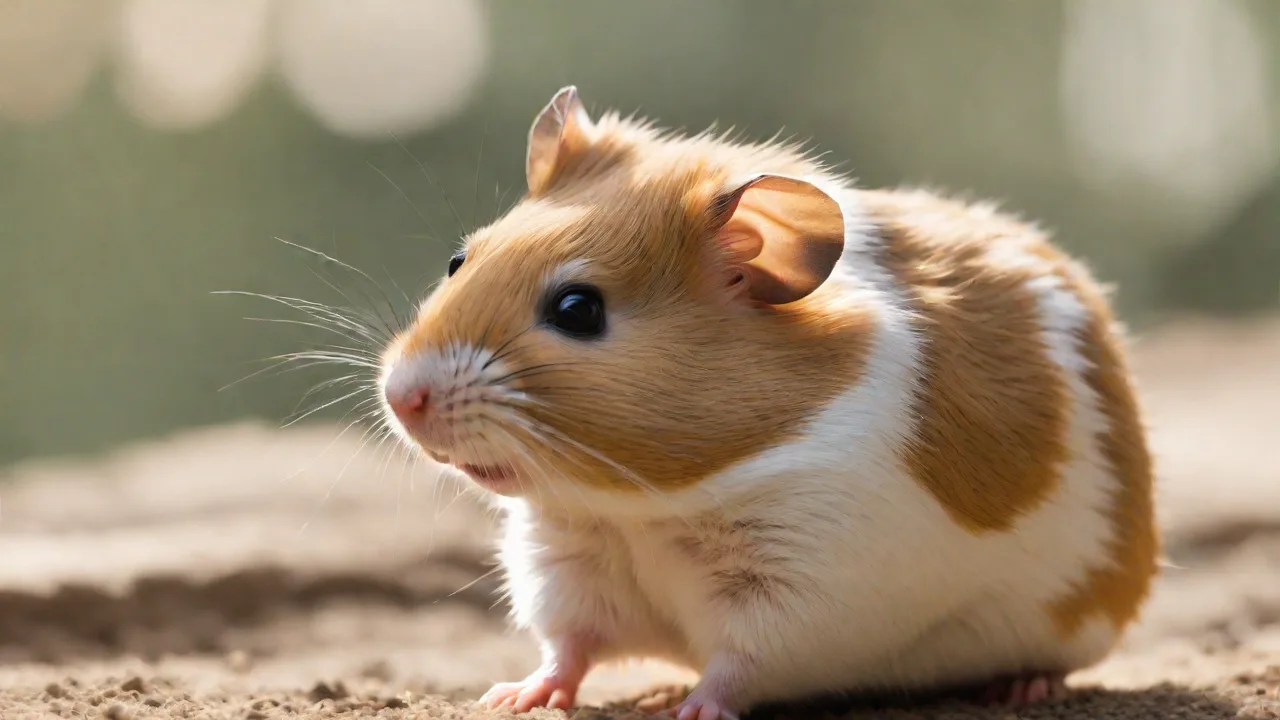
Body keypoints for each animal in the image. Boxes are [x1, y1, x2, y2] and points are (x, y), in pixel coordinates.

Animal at [378, 86, 1159, 719]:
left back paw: (1023, 685)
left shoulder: (811, 587)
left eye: (578, 309)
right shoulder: (565, 562)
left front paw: (688, 710)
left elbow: (738, 667)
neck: (645, 508)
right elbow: (568, 647)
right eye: (459, 261)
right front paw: (512, 696)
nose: (401, 396)